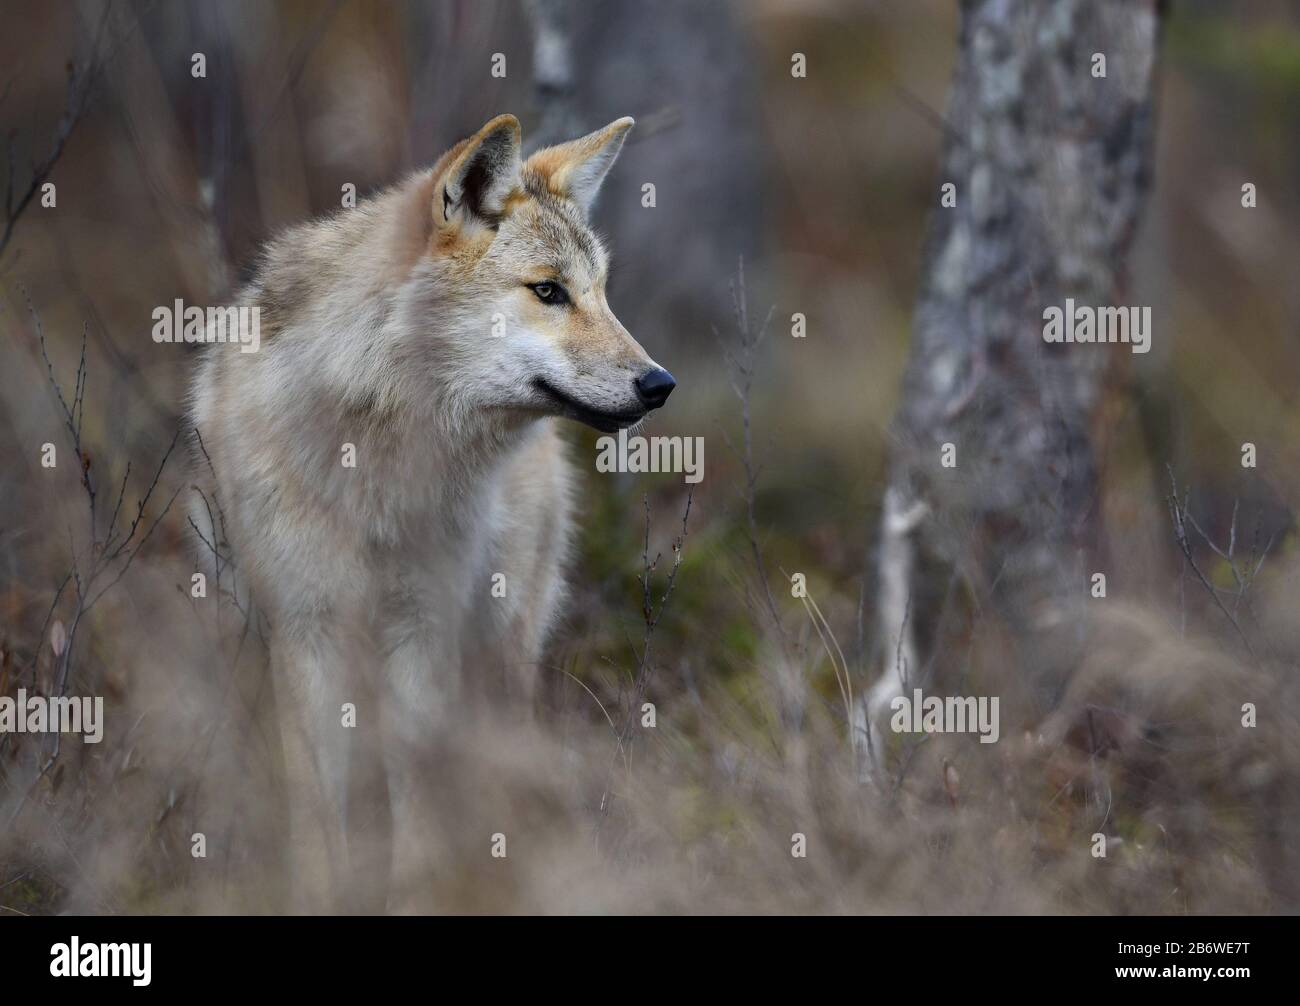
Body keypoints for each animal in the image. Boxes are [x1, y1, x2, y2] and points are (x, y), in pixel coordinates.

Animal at [188, 114, 674, 910]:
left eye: (600, 292)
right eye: (548, 291)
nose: (660, 383)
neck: (377, 457)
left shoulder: (423, 627)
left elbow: (414, 799)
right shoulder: (306, 630)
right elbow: (319, 810)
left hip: (503, 643)